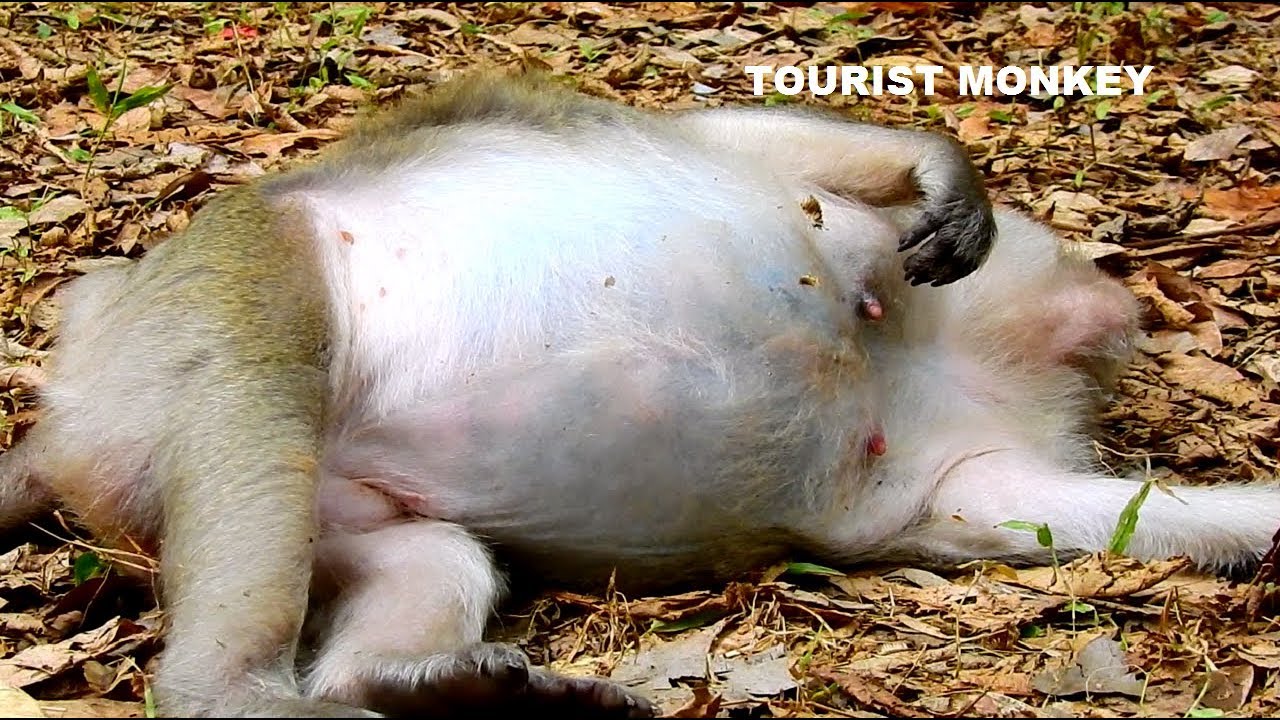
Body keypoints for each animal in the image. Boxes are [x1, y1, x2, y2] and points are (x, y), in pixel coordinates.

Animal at [0, 73, 1003, 717]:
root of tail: (63, 424)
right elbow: (739, 133)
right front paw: (942, 168)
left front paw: (950, 185)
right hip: (217, 284)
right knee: (260, 384)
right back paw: (232, 695)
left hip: (329, 495)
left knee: (432, 553)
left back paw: (397, 681)